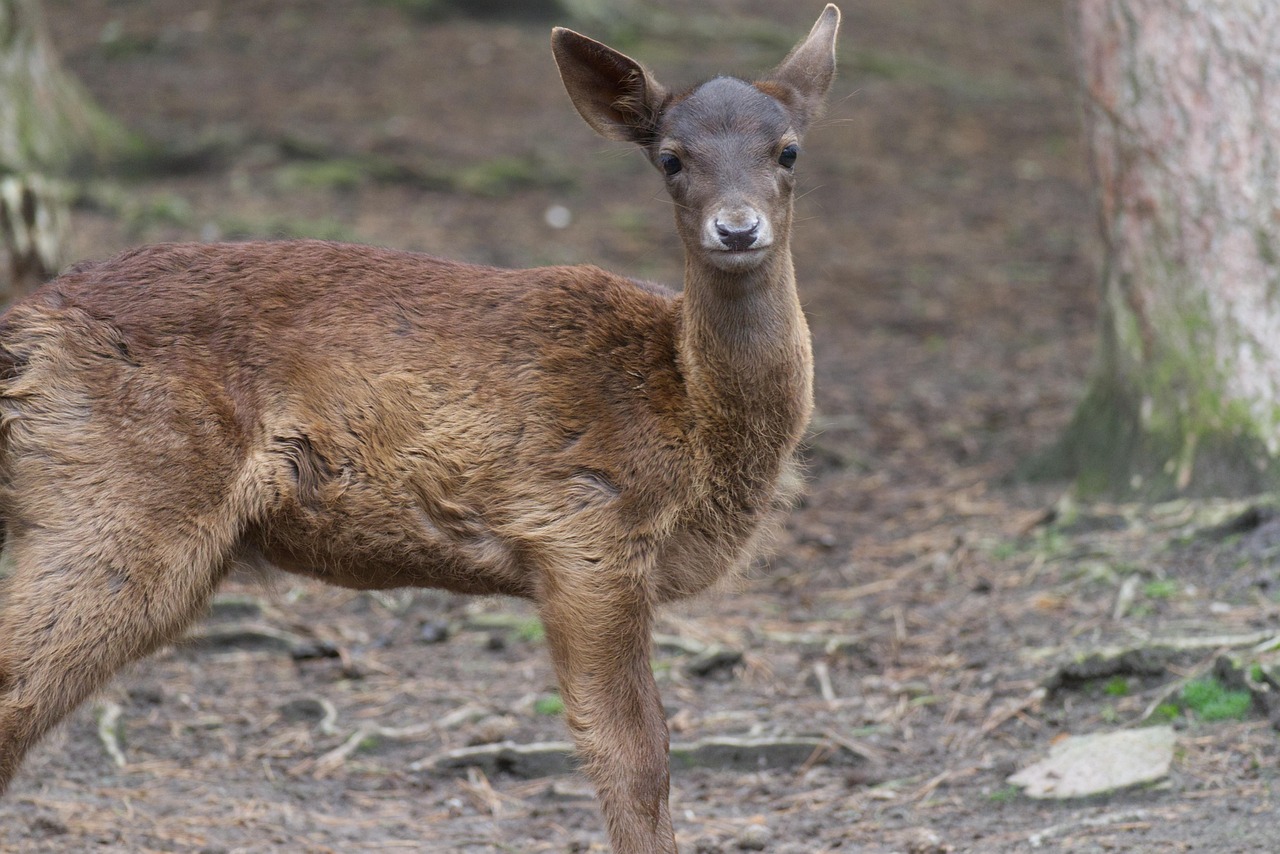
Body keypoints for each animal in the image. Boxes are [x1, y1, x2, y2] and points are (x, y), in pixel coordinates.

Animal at [0, 6, 839, 852]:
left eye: (788, 150)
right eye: (670, 158)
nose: (738, 229)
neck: (691, 414)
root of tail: (26, 328)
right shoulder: (582, 533)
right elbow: (635, 759)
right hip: (118, 505)